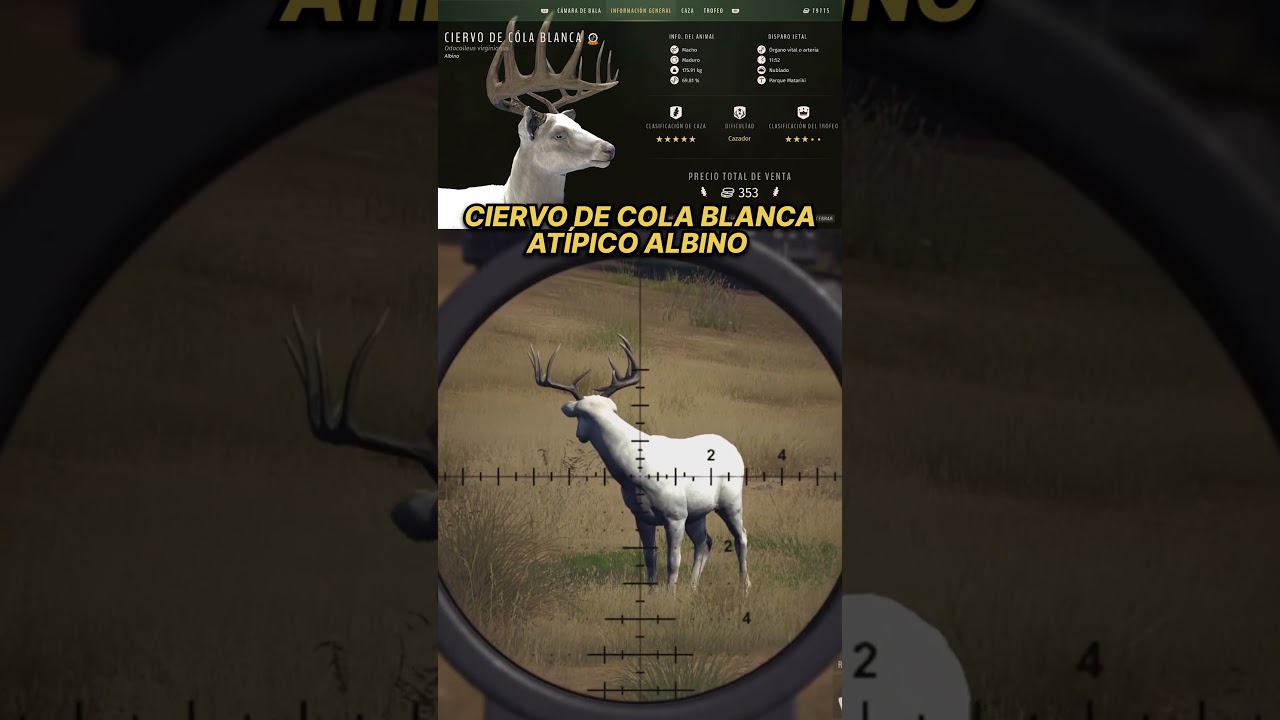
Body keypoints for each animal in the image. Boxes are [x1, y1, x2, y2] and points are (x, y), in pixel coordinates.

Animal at [529, 335, 750, 594]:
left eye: (580, 416)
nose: (579, 436)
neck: (636, 473)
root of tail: (735, 451)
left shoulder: (675, 513)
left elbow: (673, 560)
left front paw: (669, 595)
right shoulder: (642, 516)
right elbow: (649, 558)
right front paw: (654, 592)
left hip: (730, 500)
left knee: (740, 537)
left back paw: (745, 587)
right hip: (698, 512)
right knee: (705, 541)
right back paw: (693, 587)